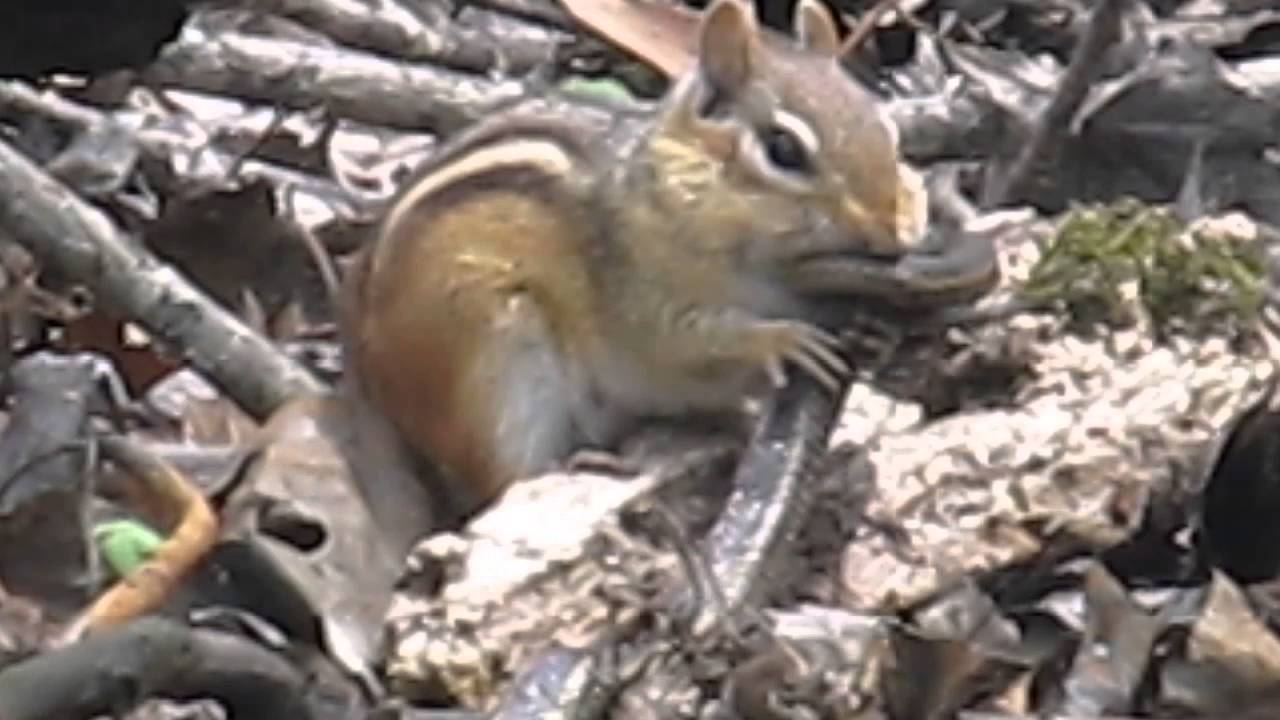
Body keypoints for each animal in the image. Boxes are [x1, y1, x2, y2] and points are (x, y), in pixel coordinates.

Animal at [339, 0, 1000, 528]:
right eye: (783, 150)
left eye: (886, 128)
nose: (891, 233)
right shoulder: (639, 286)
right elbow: (686, 341)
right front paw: (780, 339)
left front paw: (873, 329)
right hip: (498, 360)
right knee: (498, 483)